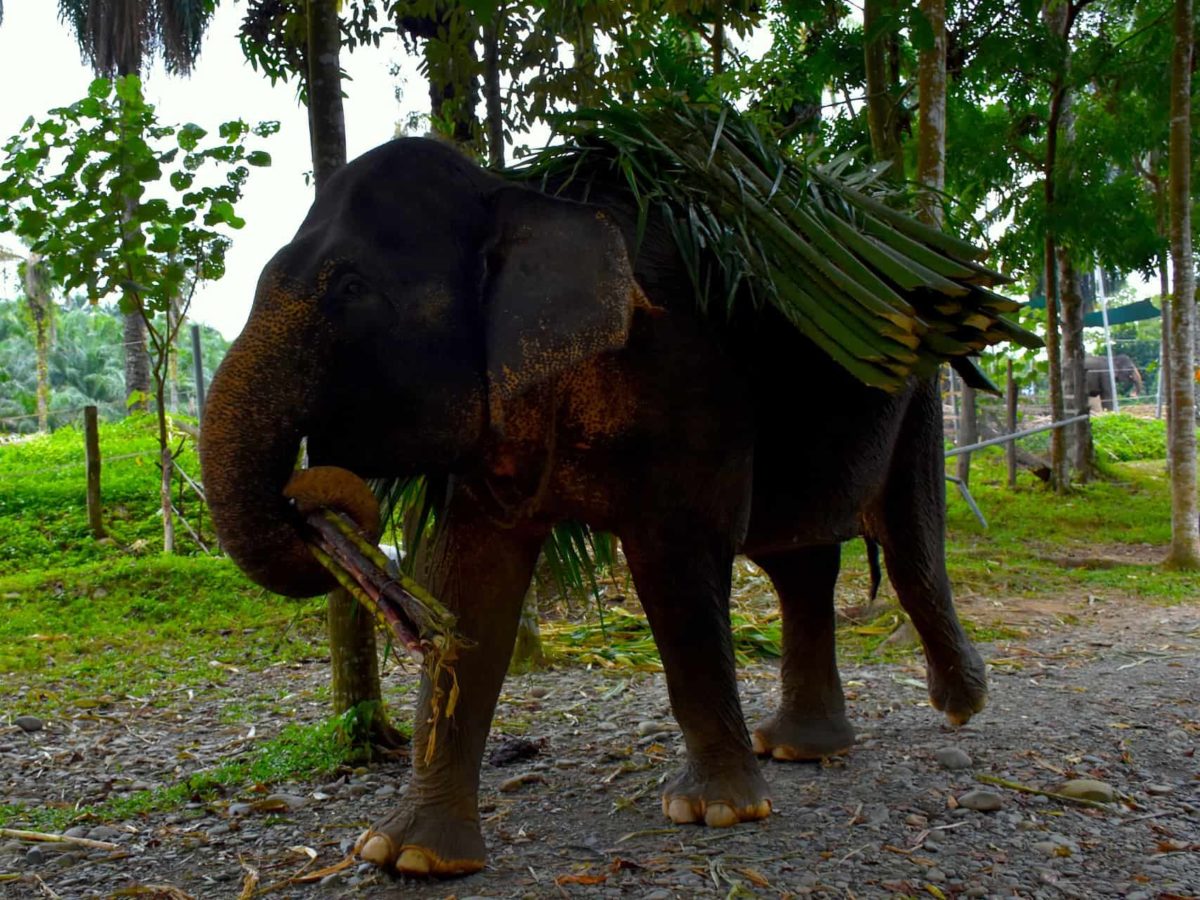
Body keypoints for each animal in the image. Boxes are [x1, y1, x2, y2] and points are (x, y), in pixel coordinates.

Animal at [199, 137, 988, 877]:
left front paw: (718, 813)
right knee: (800, 564)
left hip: (921, 397)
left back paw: (960, 705)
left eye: (351, 286)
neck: (520, 195)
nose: (315, 499)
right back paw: (801, 746)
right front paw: (407, 856)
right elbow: (470, 585)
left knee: (909, 546)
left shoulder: (688, 380)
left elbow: (677, 569)